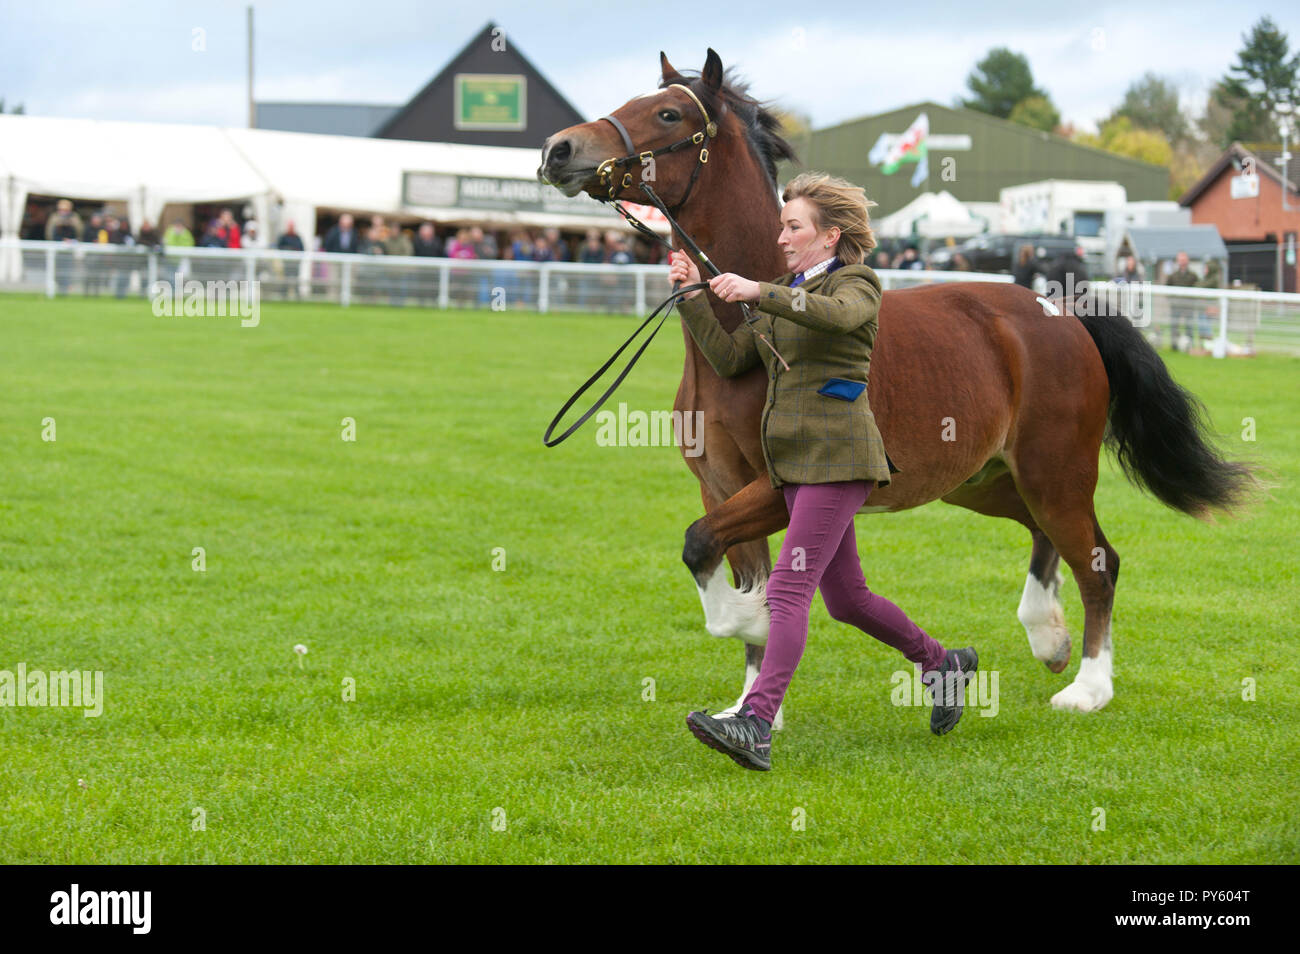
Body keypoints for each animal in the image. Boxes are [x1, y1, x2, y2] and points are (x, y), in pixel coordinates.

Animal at [537, 49, 1255, 726]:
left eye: (666, 114)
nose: (558, 150)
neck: (746, 344)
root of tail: (1062, 310)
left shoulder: (774, 487)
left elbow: (708, 555)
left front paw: (753, 623)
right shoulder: (718, 485)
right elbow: (725, 564)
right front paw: (745, 707)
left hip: (1055, 471)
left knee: (1099, 559)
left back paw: (1087, 687)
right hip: (985, 479)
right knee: (1046, 536)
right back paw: (1047, 636)